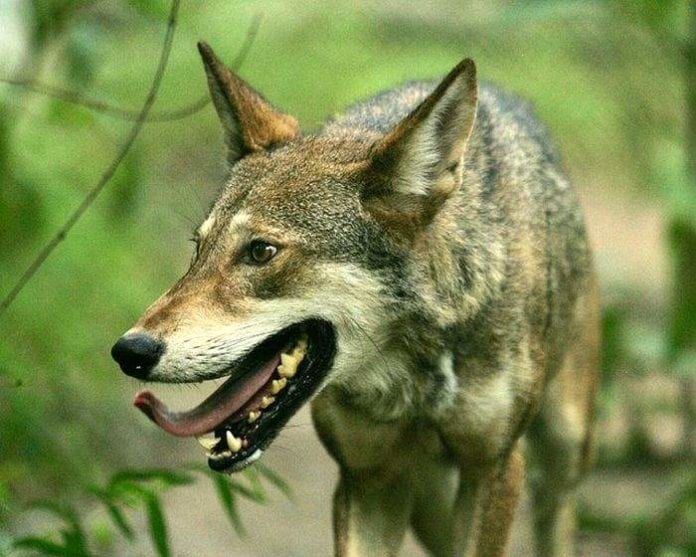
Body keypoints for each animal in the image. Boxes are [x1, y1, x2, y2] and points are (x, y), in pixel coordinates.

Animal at [111, 42, 599, 557]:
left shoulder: (494, 470)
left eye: (261, 252)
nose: (129, 350)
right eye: (199, 248)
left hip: (562, 452)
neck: (415, 371)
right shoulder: (367, 480)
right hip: (427, 500)